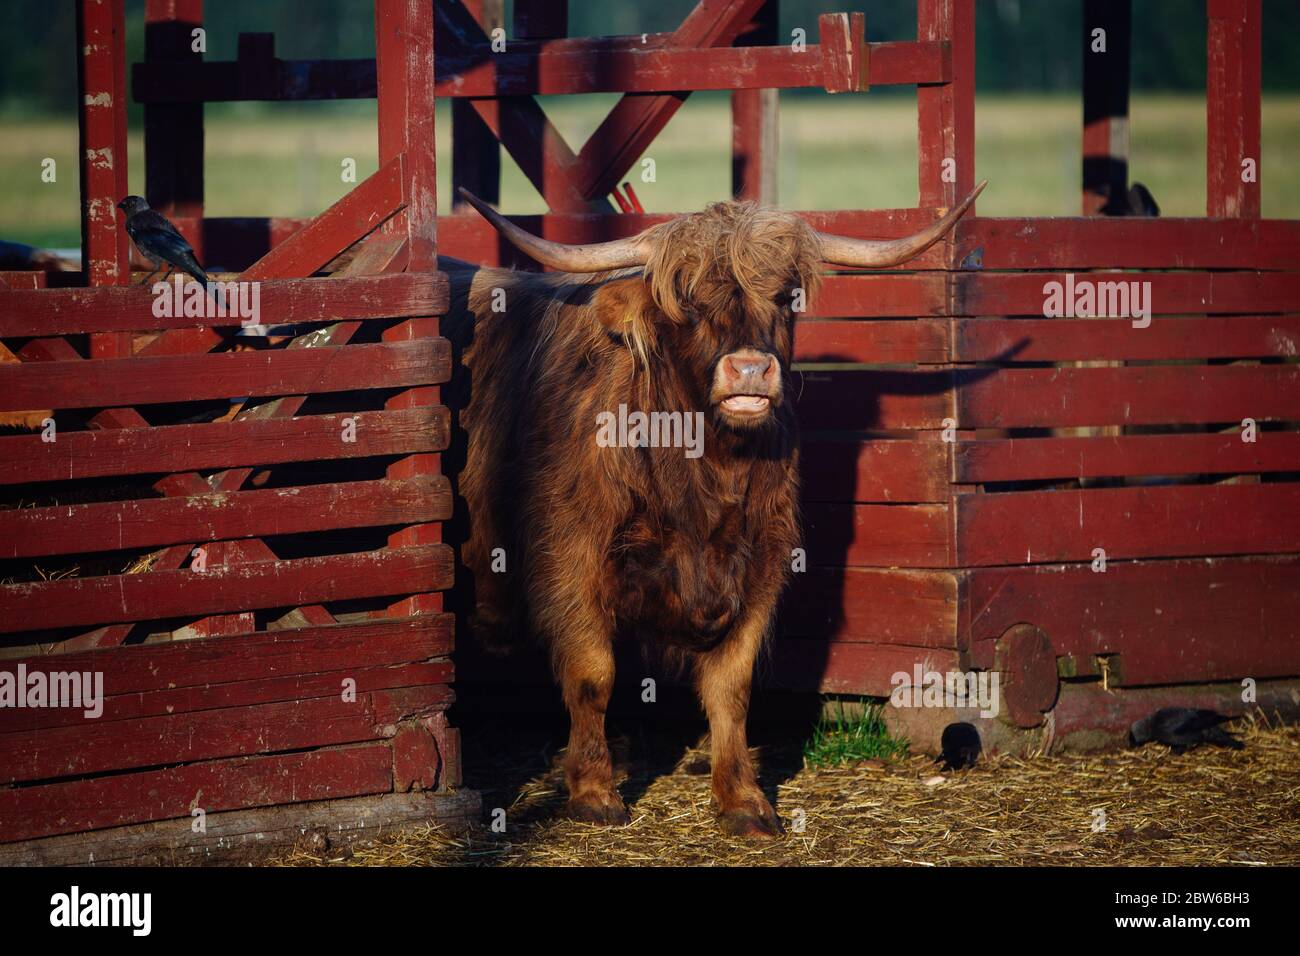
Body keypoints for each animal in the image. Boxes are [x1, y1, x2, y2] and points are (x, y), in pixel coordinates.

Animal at [444, 181, 986, 836]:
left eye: (783, 296)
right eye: (689, 302)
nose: (750, 369)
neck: (703, 474)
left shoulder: (761, 564)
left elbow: (732, 685)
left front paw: (743, 799)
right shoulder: (570, 558)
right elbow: (592, 673)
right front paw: (595, 792)